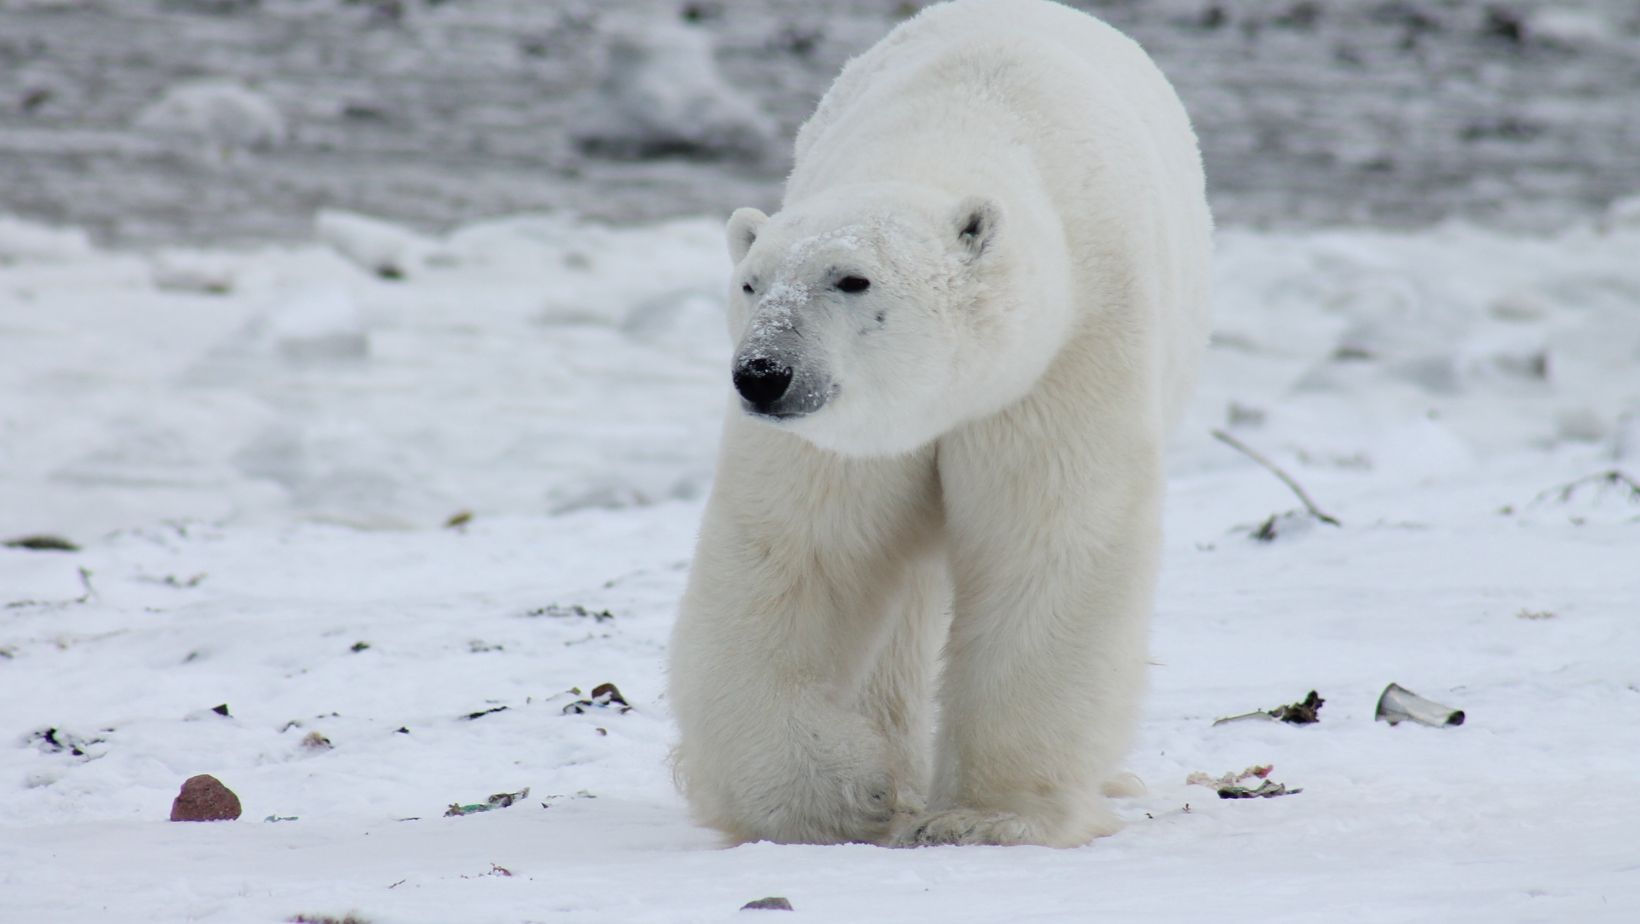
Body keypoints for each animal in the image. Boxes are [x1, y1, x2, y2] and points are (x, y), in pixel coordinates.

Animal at [667, 0, 1212, 848]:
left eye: (852, 280)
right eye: (752, 283)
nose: (762, 373)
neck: (953, 129)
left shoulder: (1066, 354)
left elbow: (1048, 542)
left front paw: (988, 816)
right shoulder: (848, 436)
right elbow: (798, 553)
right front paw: (838, 794)